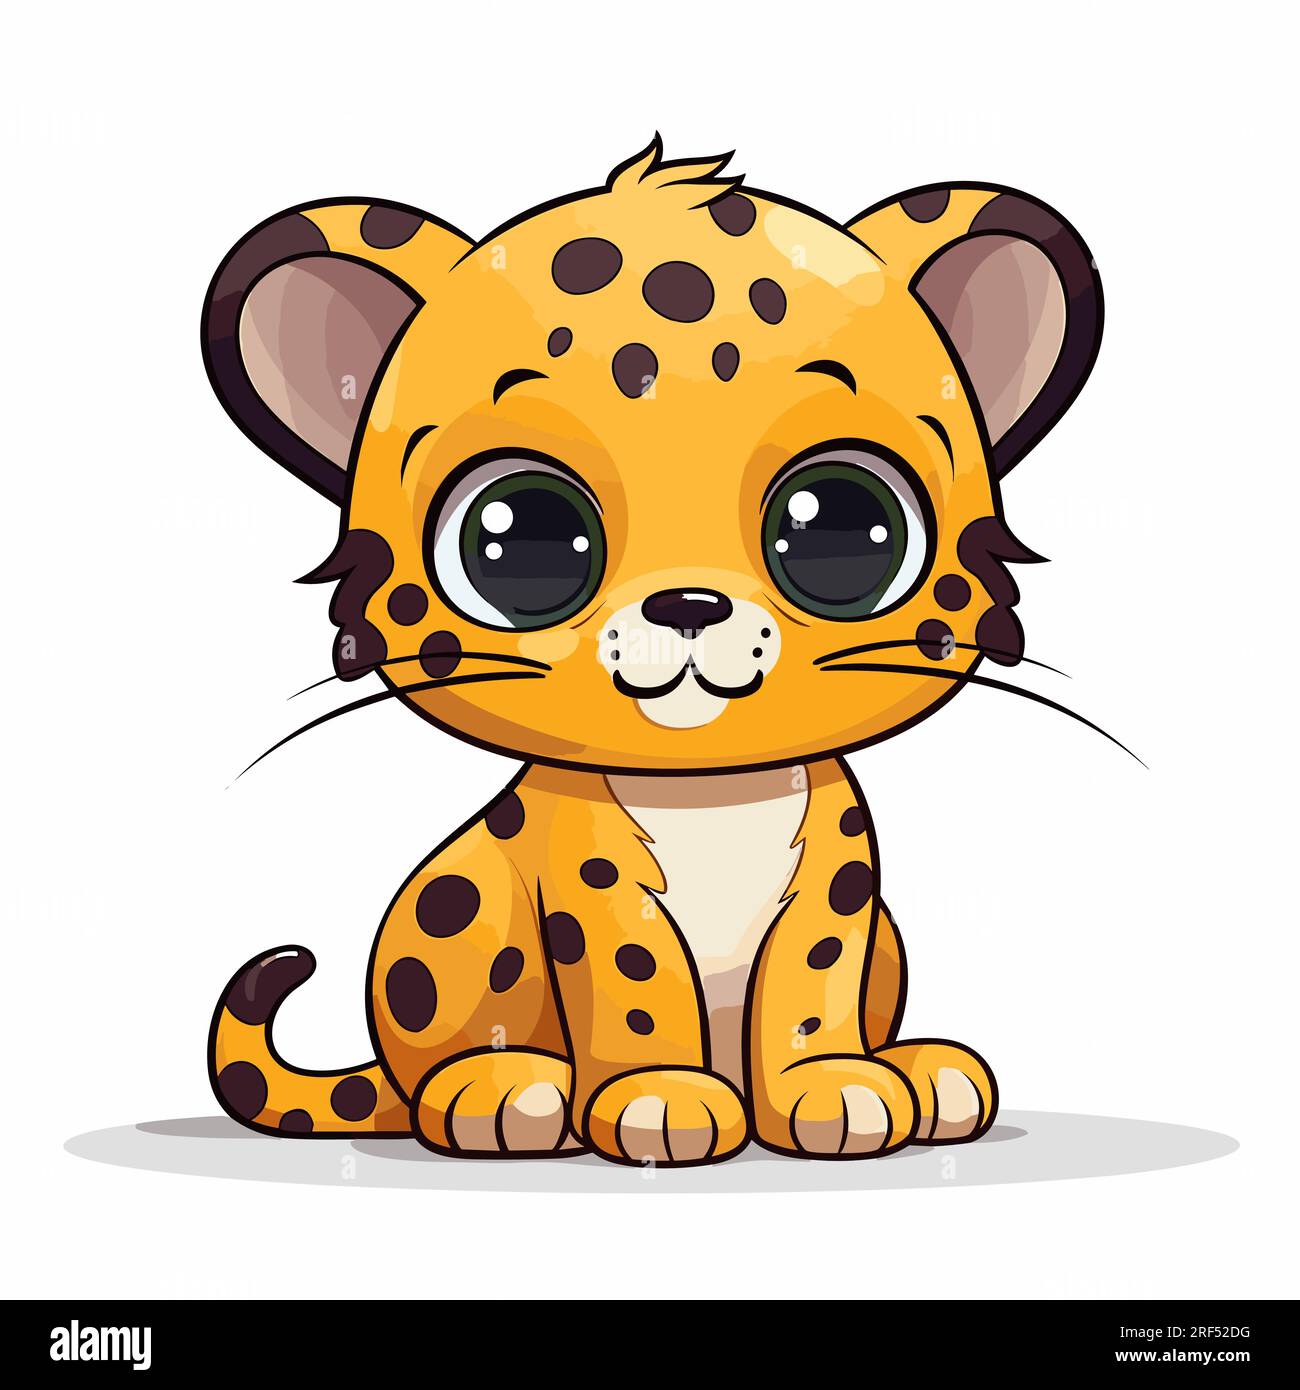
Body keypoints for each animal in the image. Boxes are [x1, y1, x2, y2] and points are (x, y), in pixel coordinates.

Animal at [202, 137, 1102, 1165]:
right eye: (517, 536)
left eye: (845, 522)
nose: (689, 604)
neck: (709, 795)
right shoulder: (595, 889)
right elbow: (637, 989)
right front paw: (657, 1099)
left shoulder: (839, 883)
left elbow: (813, 984)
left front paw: (837, 1087)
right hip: (452, 912)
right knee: (434, 1075)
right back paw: (500, 1091)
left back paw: (929, 1071)